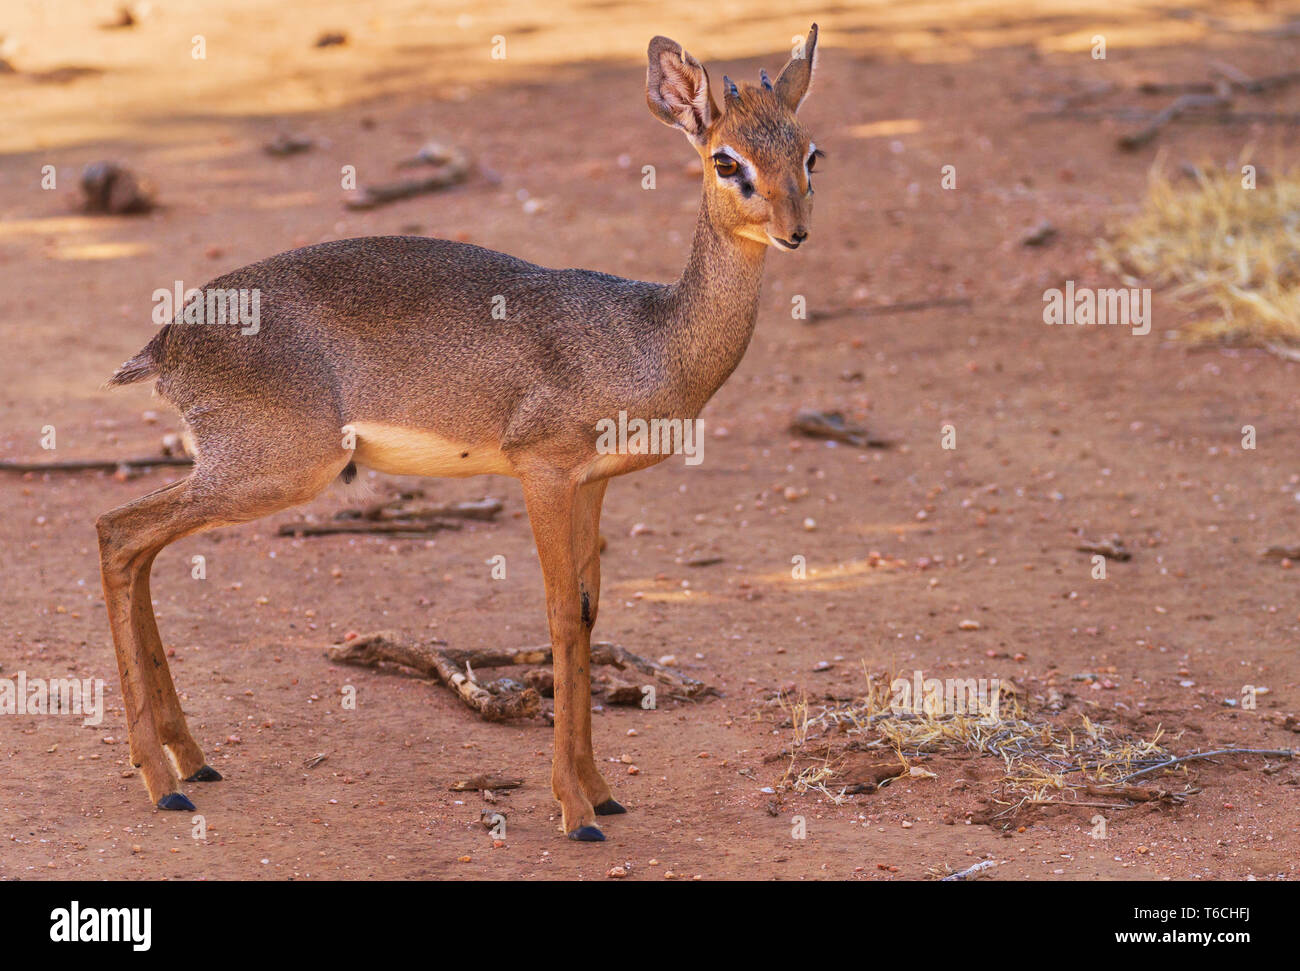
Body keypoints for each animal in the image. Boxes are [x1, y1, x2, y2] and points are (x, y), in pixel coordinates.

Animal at [97, 25, 821, 841]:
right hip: (274, 471)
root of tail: (169, 341)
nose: (796, 232)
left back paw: (192, 761)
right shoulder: (542, 471)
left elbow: (589, 614)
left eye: (809, 153)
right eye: (727, 160)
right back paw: (163, 783)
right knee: (117, 531)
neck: (651, 338)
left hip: (237, 473)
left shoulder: (593, 485)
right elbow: (559, 618)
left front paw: (602, 791)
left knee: (139, 550)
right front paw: (575, 810)